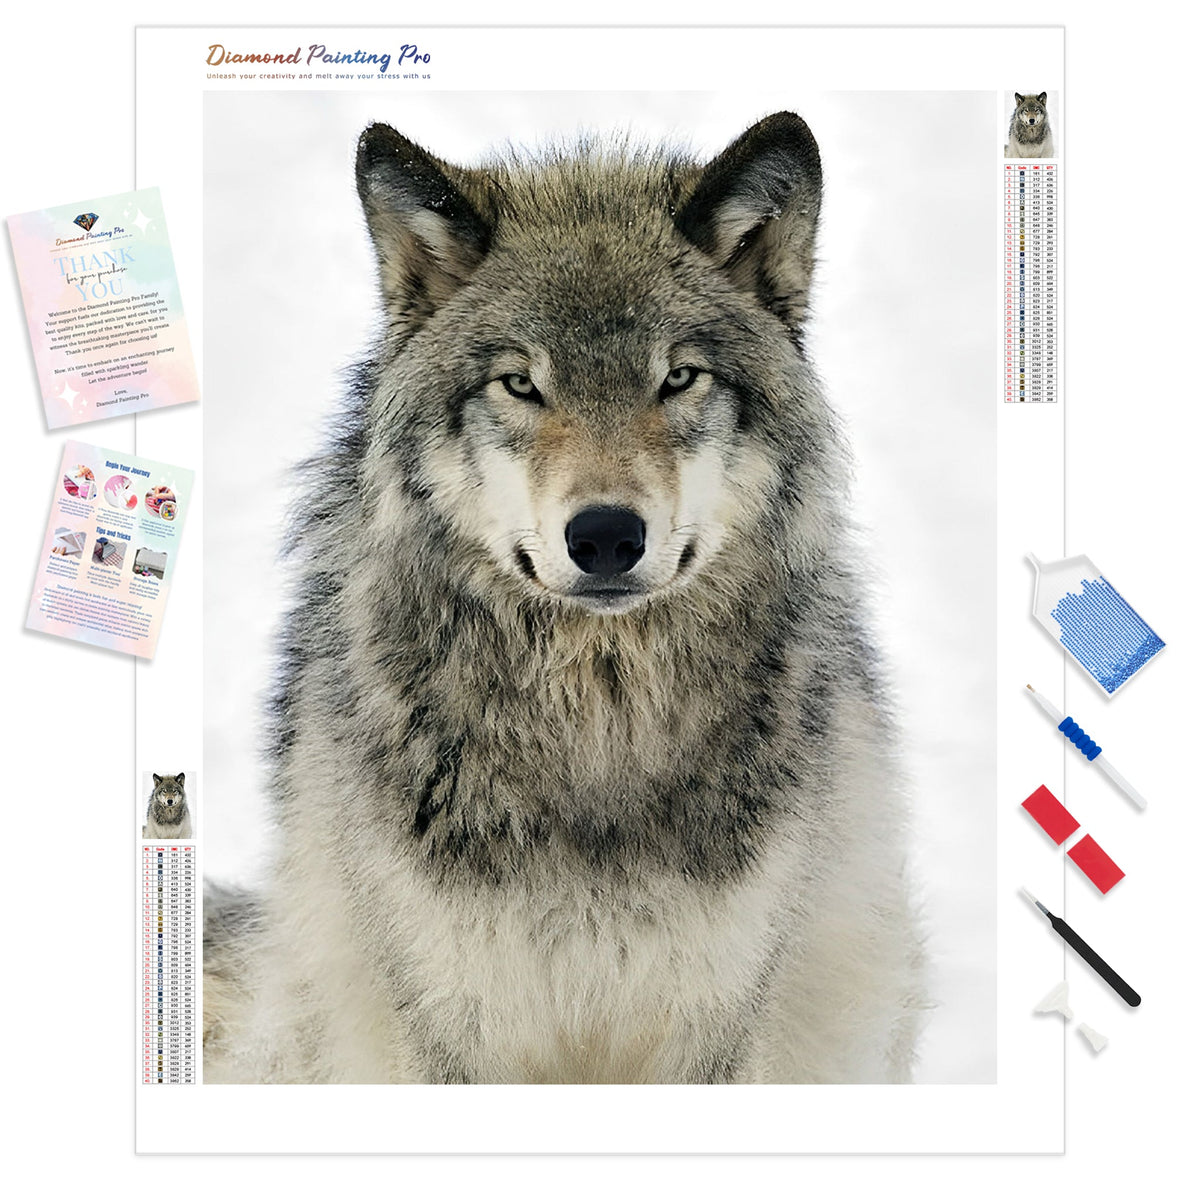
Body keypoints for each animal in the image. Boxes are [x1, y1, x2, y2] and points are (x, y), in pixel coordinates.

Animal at [203, 111, 926, 1084]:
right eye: (521, 383)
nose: (608, 536)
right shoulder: (446, 1020)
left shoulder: (718, 1021)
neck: (596, 725)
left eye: (678, 377)